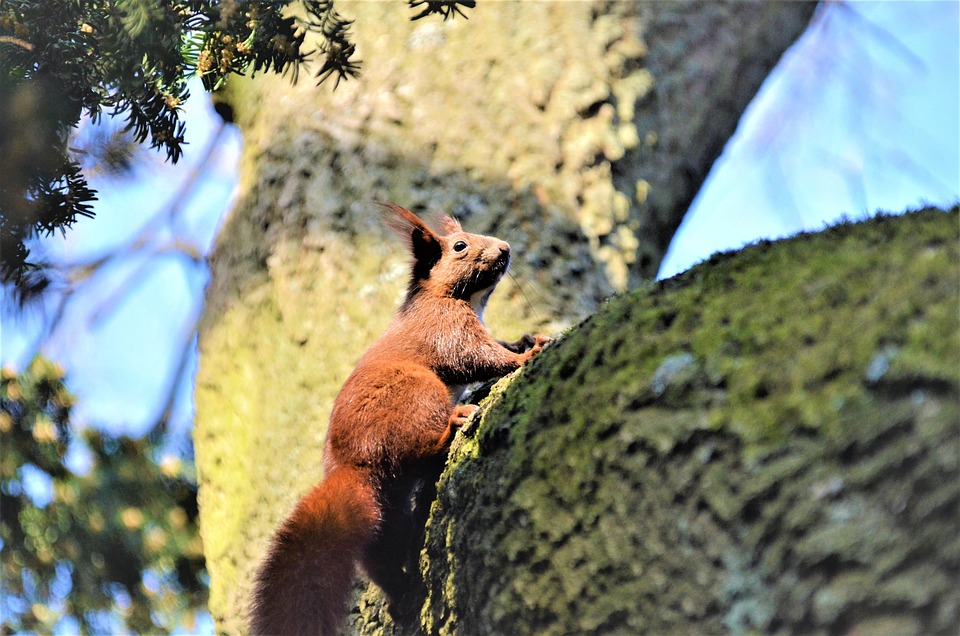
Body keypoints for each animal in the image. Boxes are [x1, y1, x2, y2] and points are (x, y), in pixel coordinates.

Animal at [249, 203, 551, 635]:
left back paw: (400, 592)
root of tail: (355, 466)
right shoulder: (446, 327)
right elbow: (479, 357)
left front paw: (523, 340)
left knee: (381, 554)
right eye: (460, 246)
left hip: (387, 512)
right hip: (418, 392)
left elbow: (495, 346)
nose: (505, 248)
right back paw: (451, 427)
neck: (452, 295)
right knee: (423, 448)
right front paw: (526, 355)